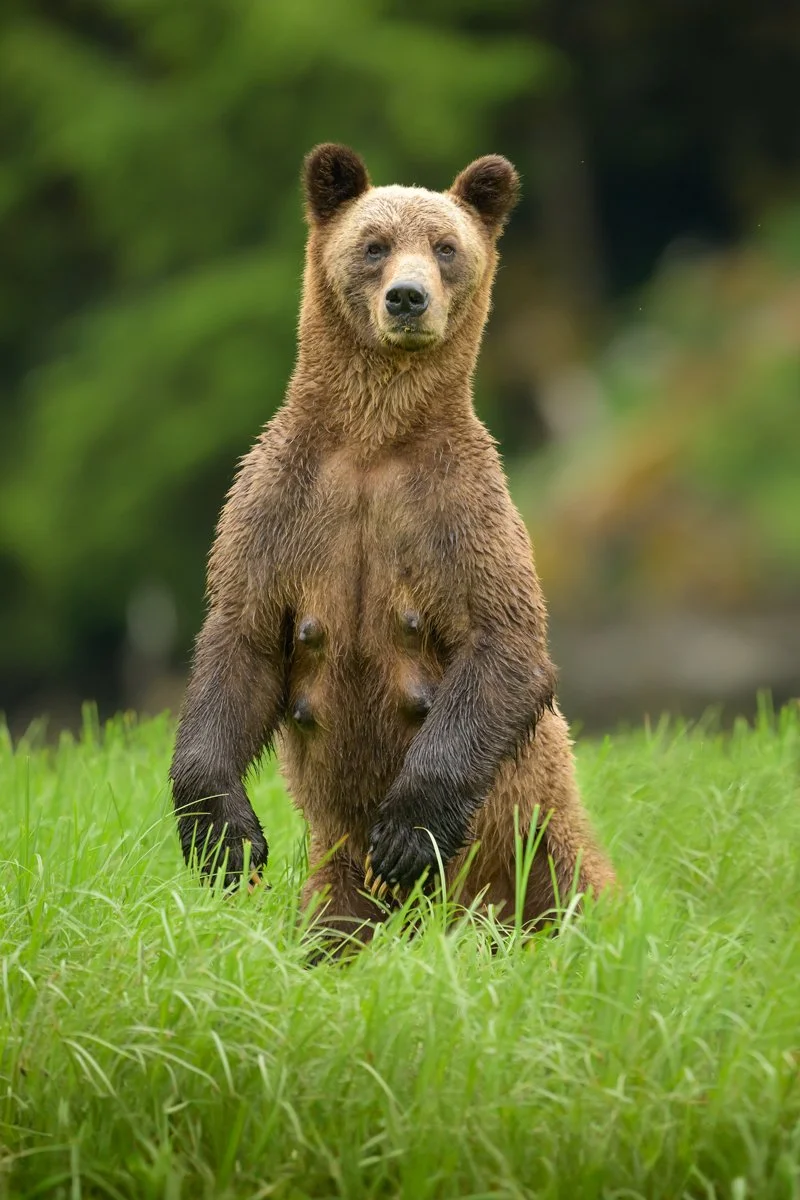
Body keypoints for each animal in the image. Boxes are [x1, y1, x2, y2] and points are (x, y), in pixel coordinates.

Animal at [170, 143, 615, 943]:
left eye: (445, 247)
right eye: (374, 245)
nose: (408, 298)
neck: (373, 442)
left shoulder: (458, 512)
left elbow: (505, 642)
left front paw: (409, 832)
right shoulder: (278, 504)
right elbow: (240, 642)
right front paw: (225, 835)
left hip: (540, 839)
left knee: (572, 892)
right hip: (337, 877)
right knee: (336, 918)